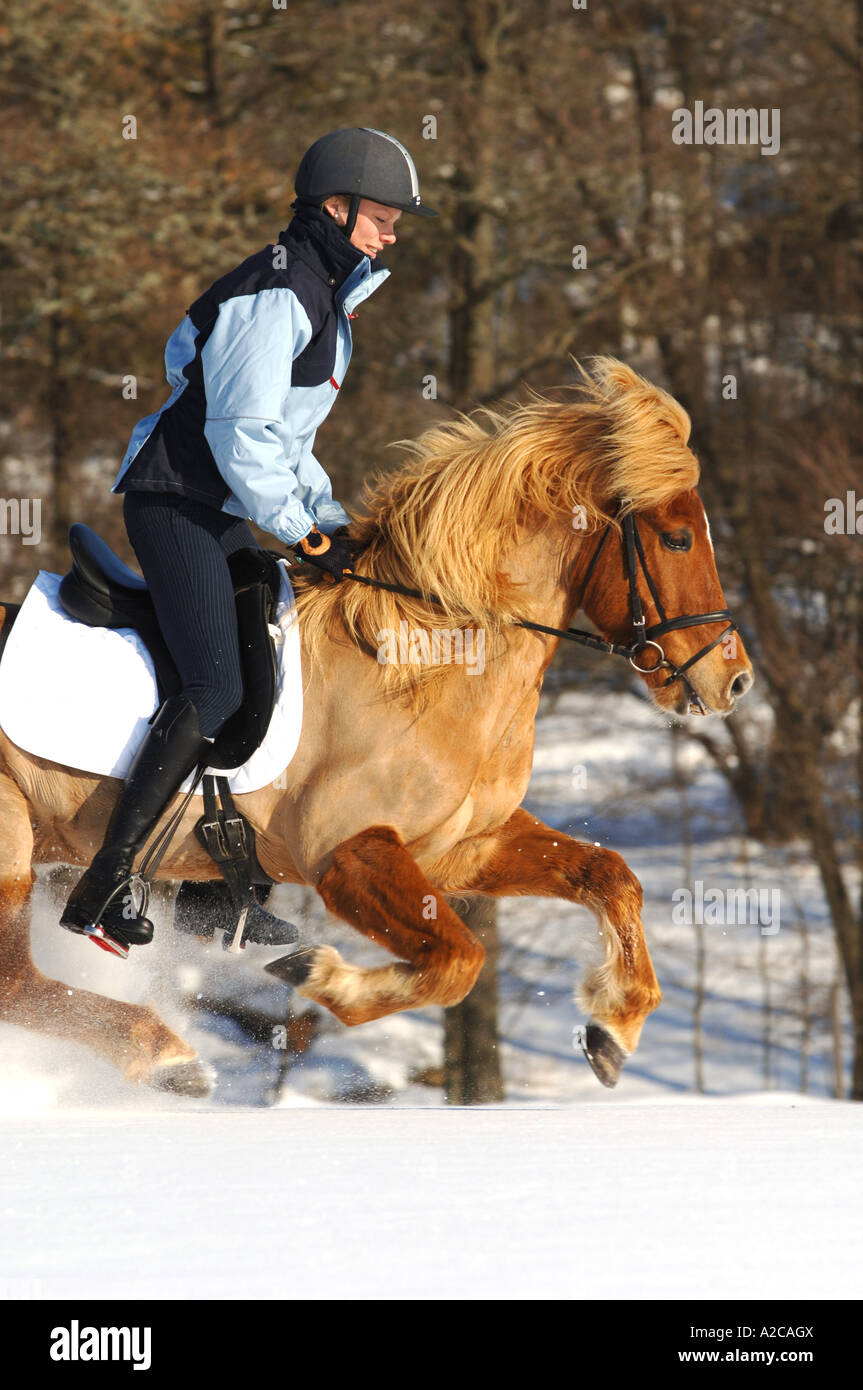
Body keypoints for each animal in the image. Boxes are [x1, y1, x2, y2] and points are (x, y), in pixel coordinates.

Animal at [0, 358, 753, 1096]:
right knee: (17, 985)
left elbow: (608, 875)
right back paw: (166, 1057)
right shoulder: (348, 853)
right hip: (14, 848)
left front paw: (613, 1026)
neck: (424, 661)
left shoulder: (459, 848)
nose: (735, 680)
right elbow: (458, 960)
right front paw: (321, 976)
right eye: (677, 538)